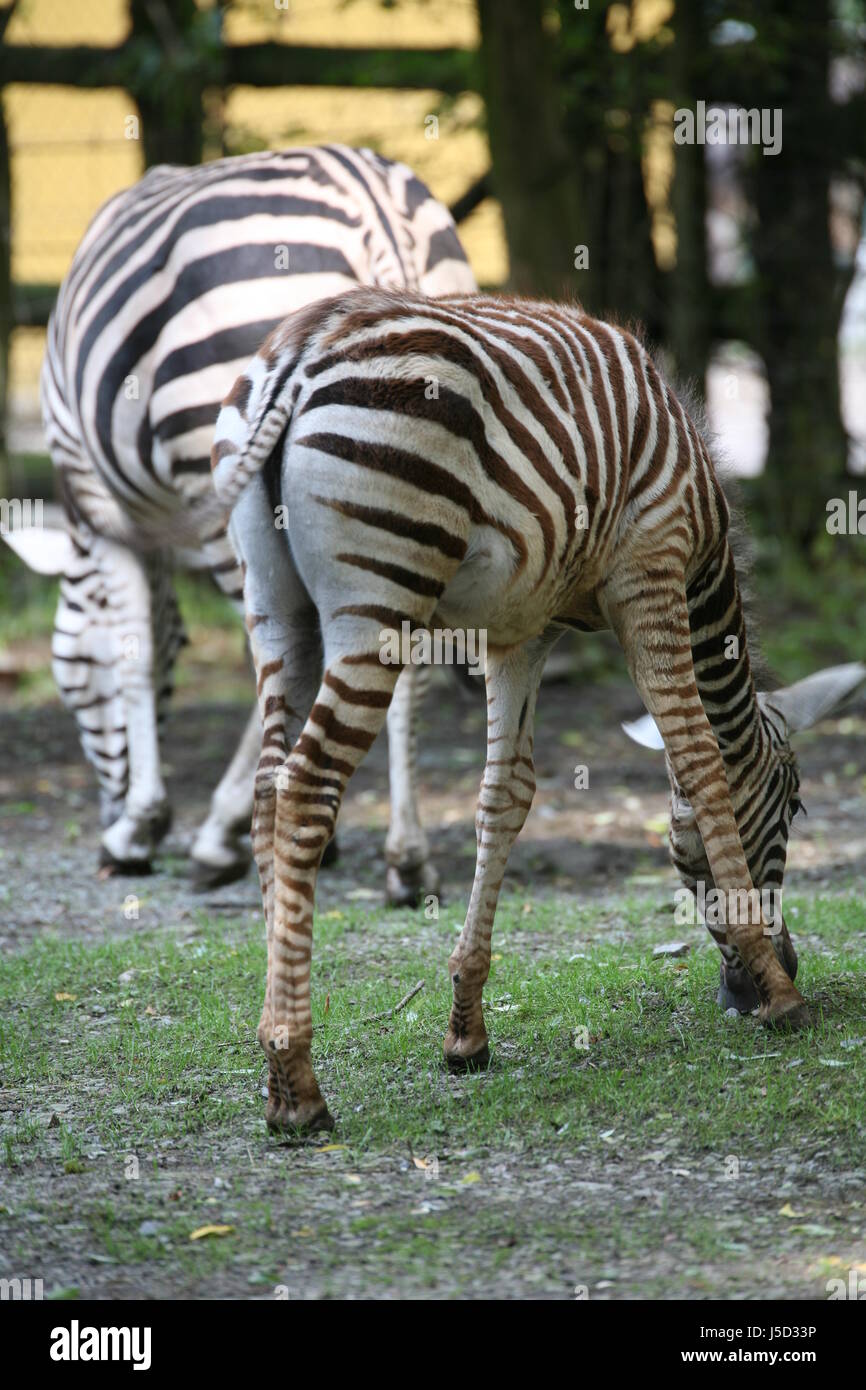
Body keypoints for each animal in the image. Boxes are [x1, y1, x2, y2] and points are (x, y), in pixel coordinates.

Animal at [8, 145, 476, 894]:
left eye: (67, 674)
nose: (107, 817)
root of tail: (370, 198)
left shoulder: (99, 496)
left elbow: (136, 649)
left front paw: (139, 826)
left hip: (227, 453)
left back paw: (227, 832)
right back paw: (406, 858)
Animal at [211, 286, 865, 1131]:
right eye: (795, 810)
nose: (748, 990)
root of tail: (300, 352)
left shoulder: (522, 629)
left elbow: (506, 796)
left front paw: (466, 1031)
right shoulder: (650, 570)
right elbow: (700, 759)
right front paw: (781, 995)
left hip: (275, 610)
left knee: (266, 795)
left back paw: (272, 1065)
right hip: (378, 598)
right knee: (303, 790)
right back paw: (298, 1084)